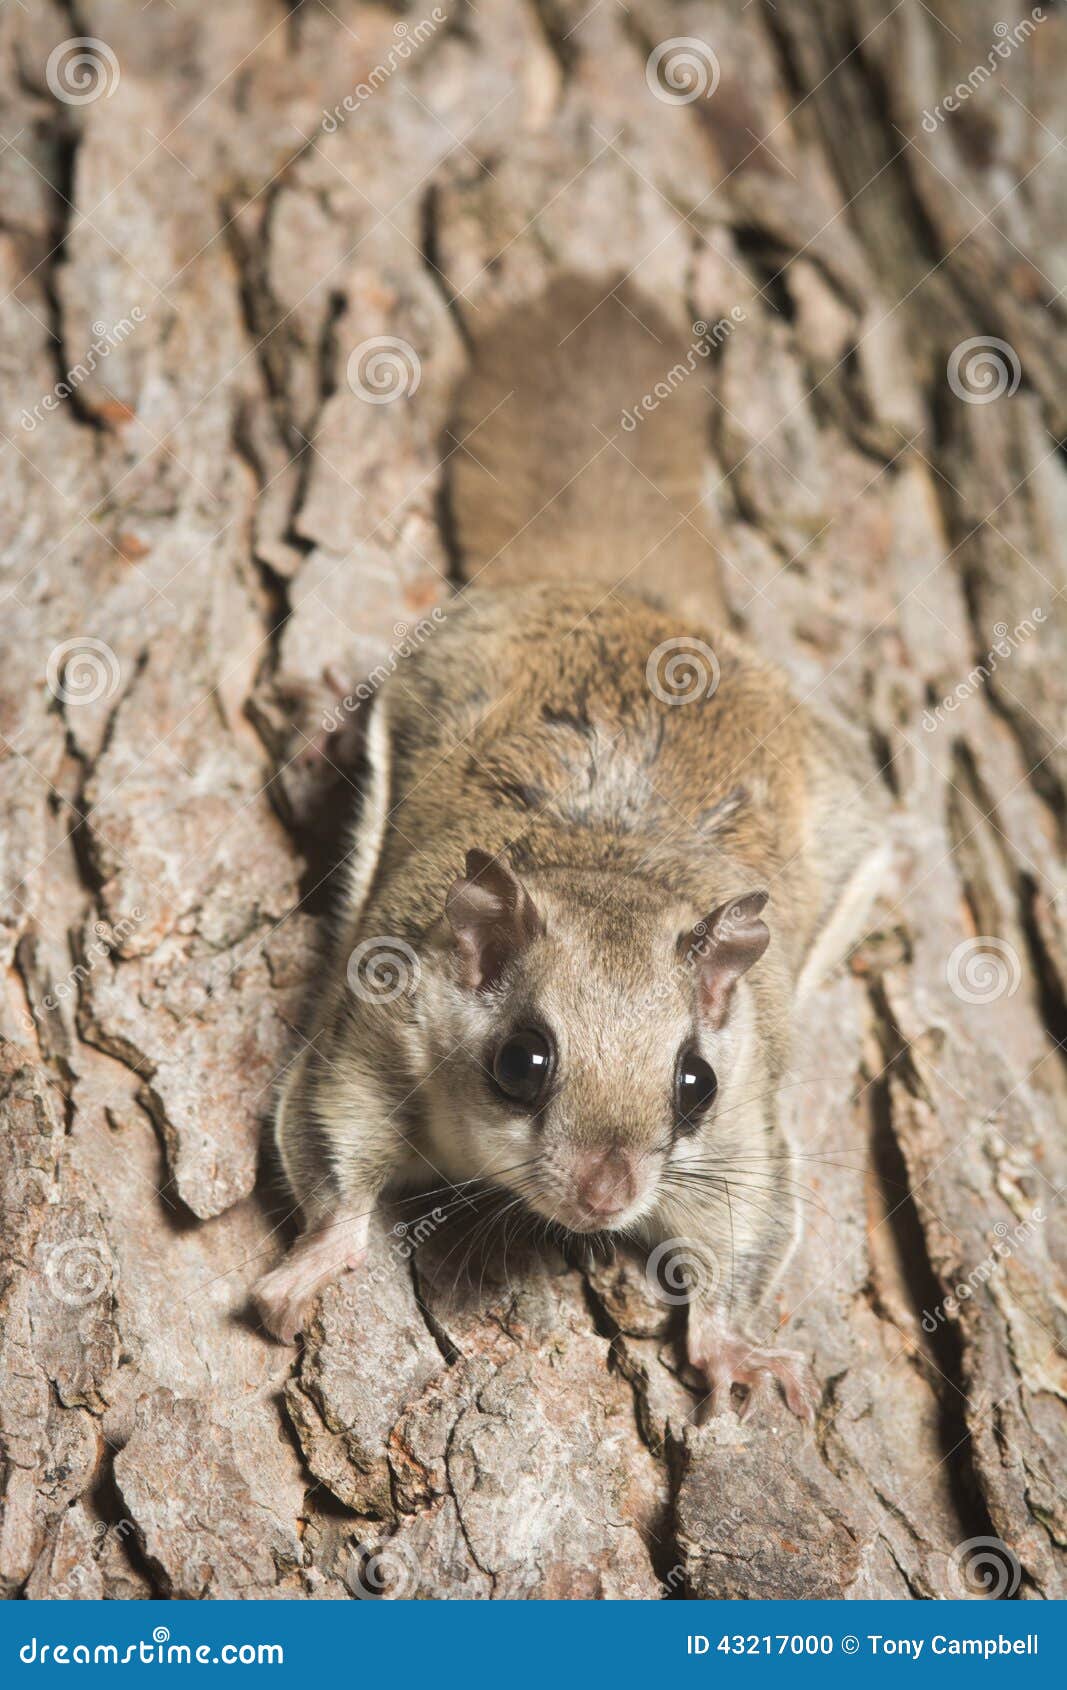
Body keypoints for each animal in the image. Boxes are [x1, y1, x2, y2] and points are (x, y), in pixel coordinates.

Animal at [253, 276, 889, 1420]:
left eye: (695, 1084)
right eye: (522, 1062)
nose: (605, 1192)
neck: (611, 871)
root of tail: (625, 598)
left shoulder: (747, 1132)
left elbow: (740, 1235)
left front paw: (732, 1346)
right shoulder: (371, 1032)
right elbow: (331, 1149)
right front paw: (314, 1262)